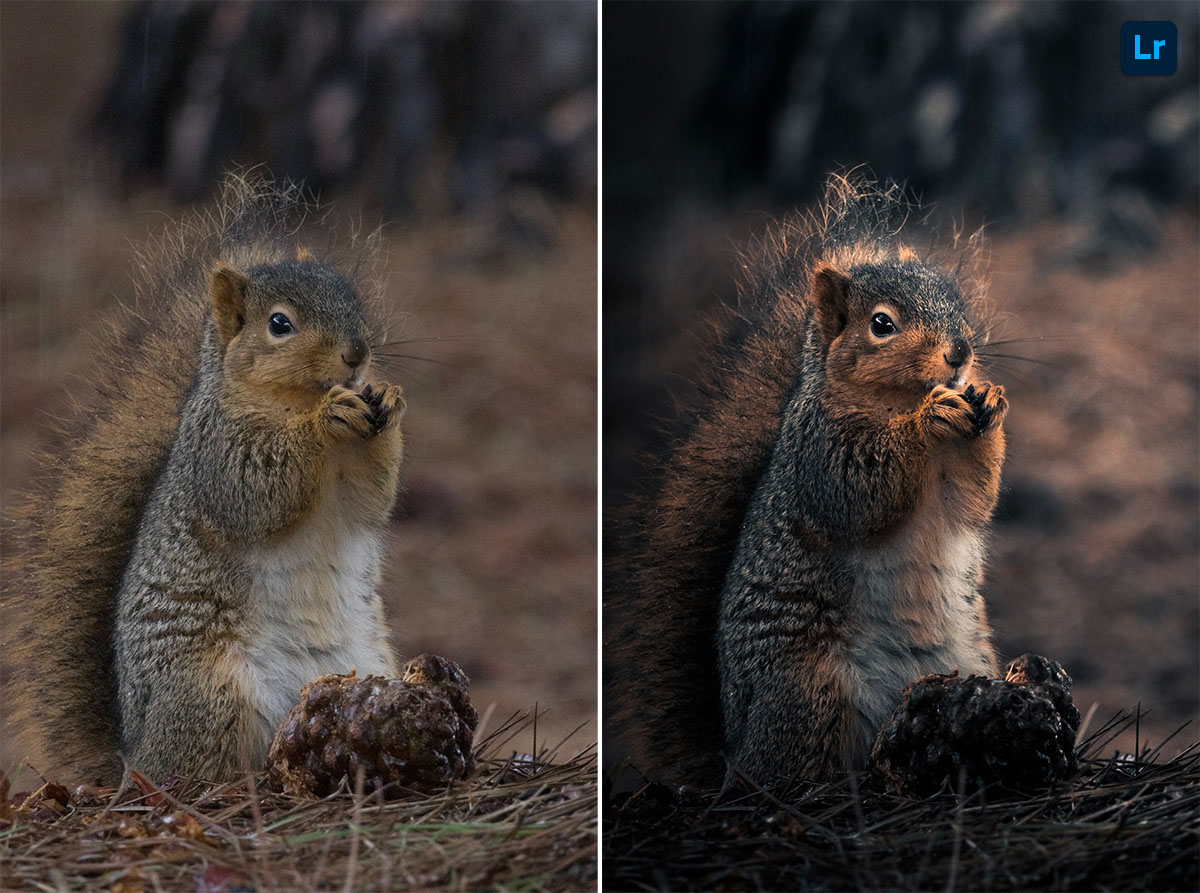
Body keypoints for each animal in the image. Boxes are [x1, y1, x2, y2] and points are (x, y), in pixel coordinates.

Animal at [3, 175, 406, 785]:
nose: (358, 355)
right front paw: (325, 419)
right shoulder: (215, 450)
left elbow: (371, 500)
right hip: (207, 693)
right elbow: (257, 491)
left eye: (353, 301)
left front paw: (388, 398)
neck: (295, 404)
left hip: (369, 669)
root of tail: (131, 757)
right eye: (280, 324)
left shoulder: (353, 483)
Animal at [605, 173, 1007, 789]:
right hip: (806, 692)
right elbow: (860, 491)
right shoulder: (817, 451)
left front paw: (989, 400)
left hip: (966, 664)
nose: (961, 353)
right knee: (788, 766)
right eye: (882, 324)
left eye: (956, 303)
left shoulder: (954, 483)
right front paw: (927, 419)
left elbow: (974, 500)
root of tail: (734, 751)